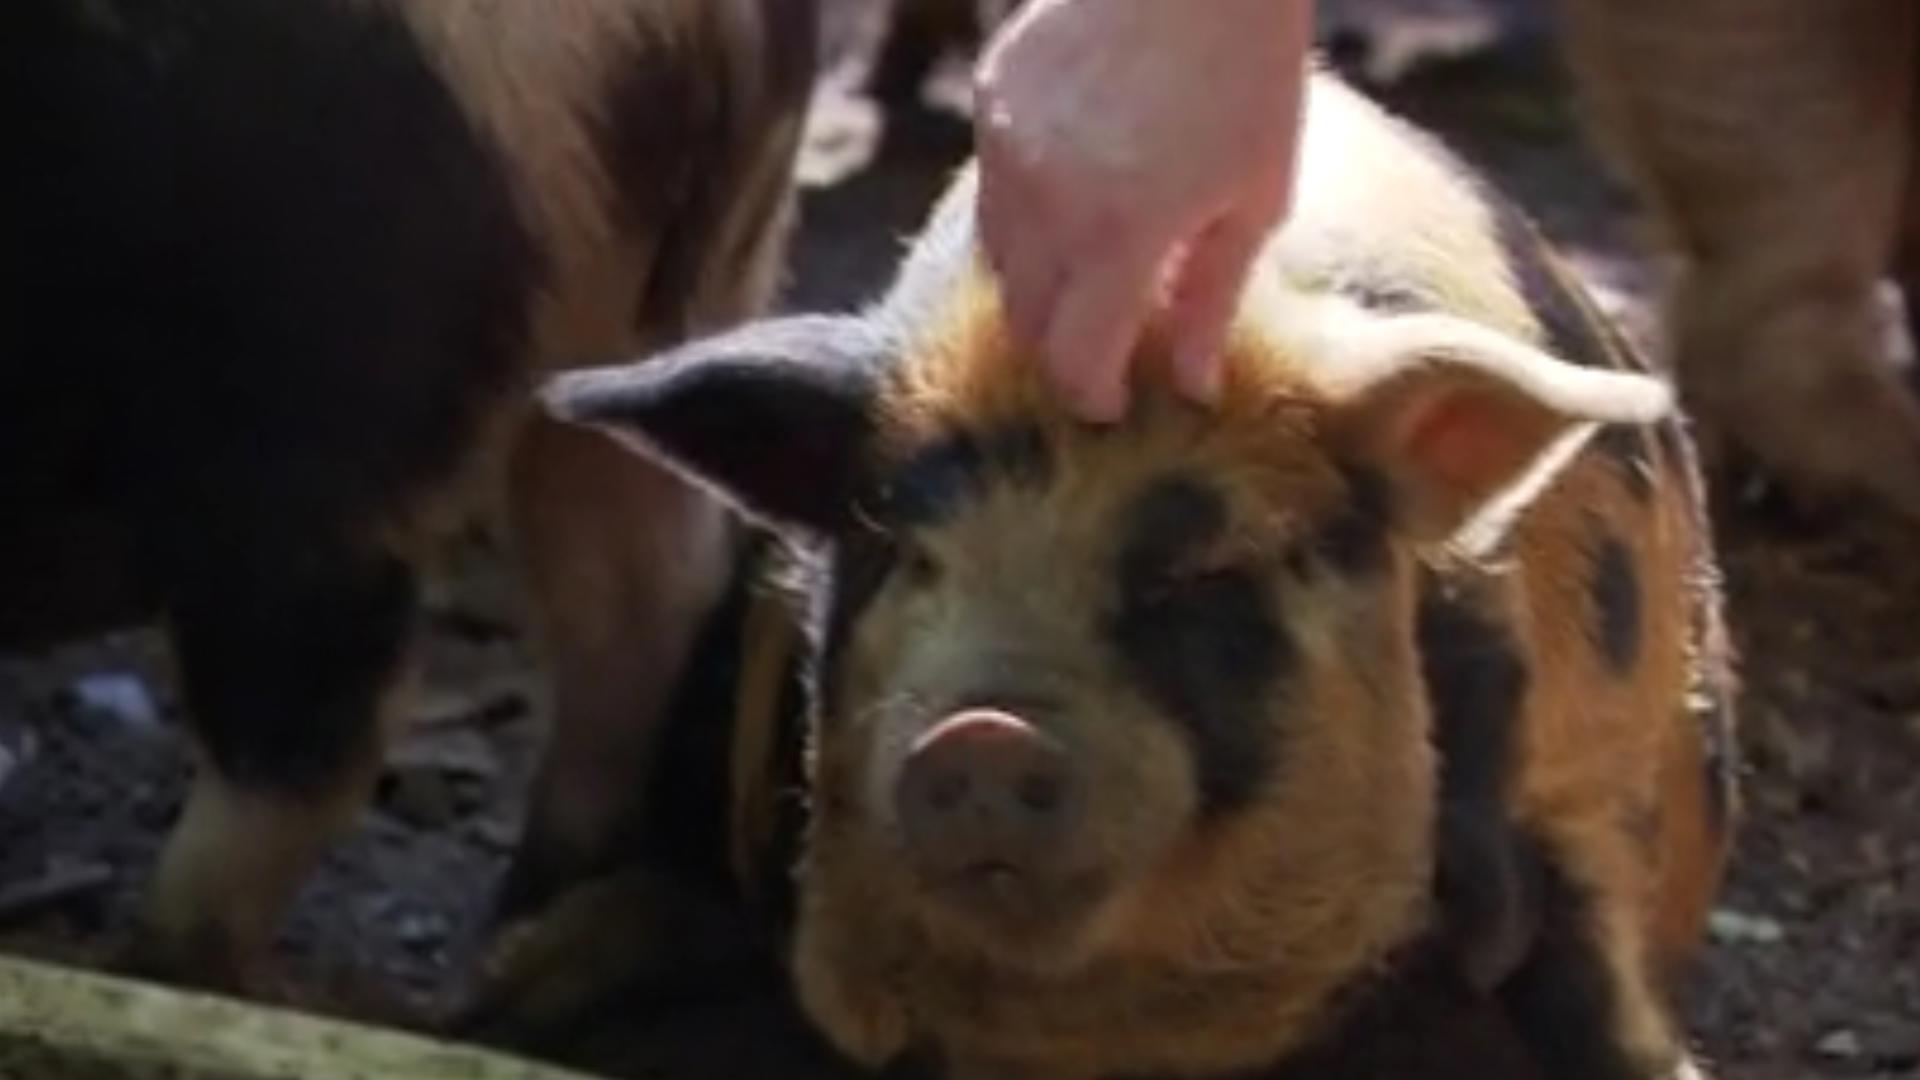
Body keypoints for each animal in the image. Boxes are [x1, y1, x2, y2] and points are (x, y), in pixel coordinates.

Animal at [0, 0, 812, 990]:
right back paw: (516, 951)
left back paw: (155, 961)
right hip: (657, 326)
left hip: (319, 387)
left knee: (319, 709)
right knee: (645, 605)